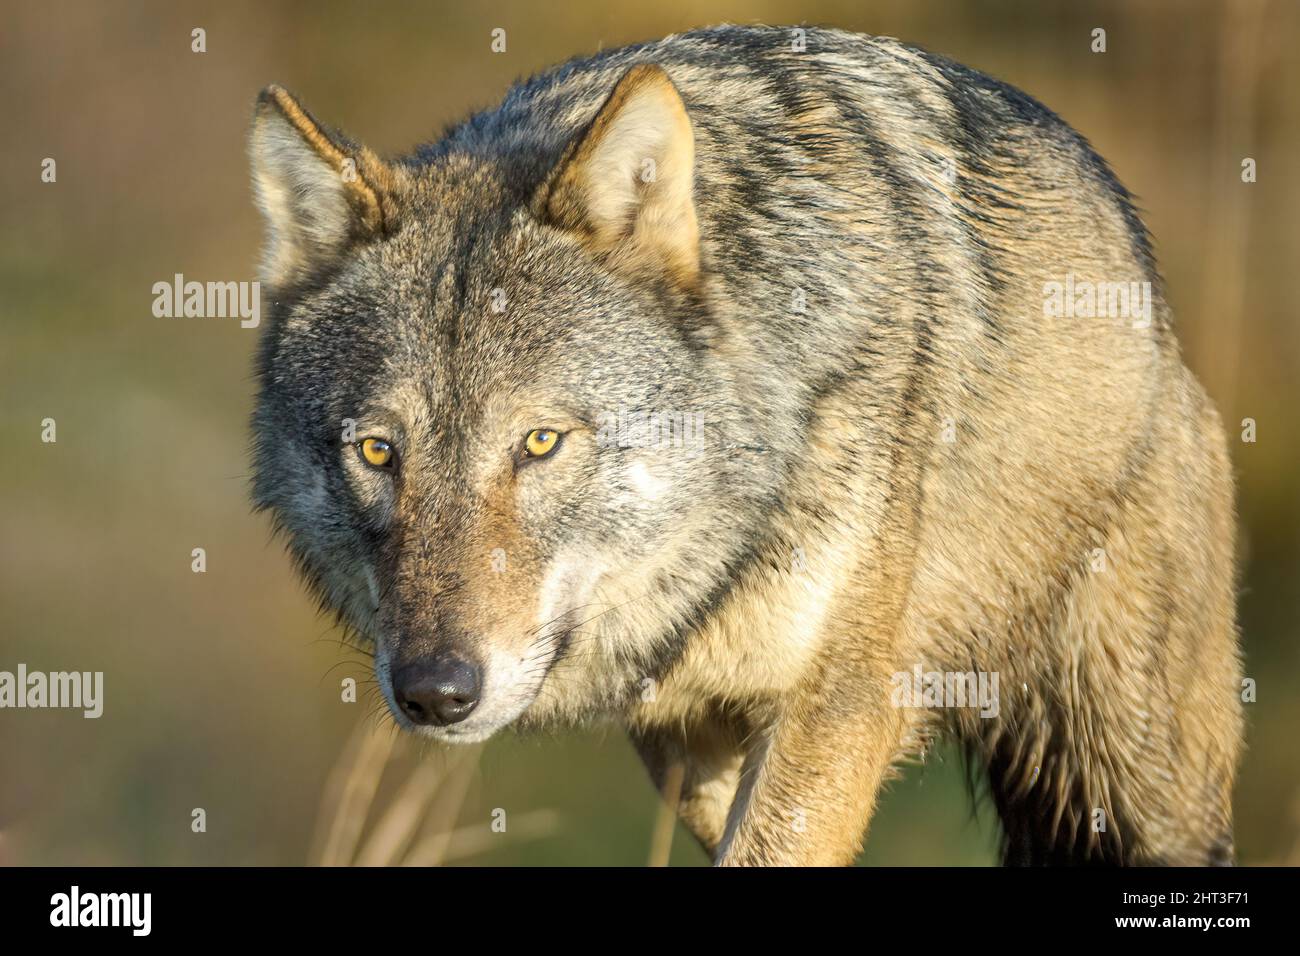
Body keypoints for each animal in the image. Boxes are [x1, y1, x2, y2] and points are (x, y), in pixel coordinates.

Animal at [248, 25, 1243, 865]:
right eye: (378, 453)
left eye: (539, 442)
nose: (436, 692)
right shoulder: (683, 734)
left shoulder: (841, 710)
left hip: (1129, 785)